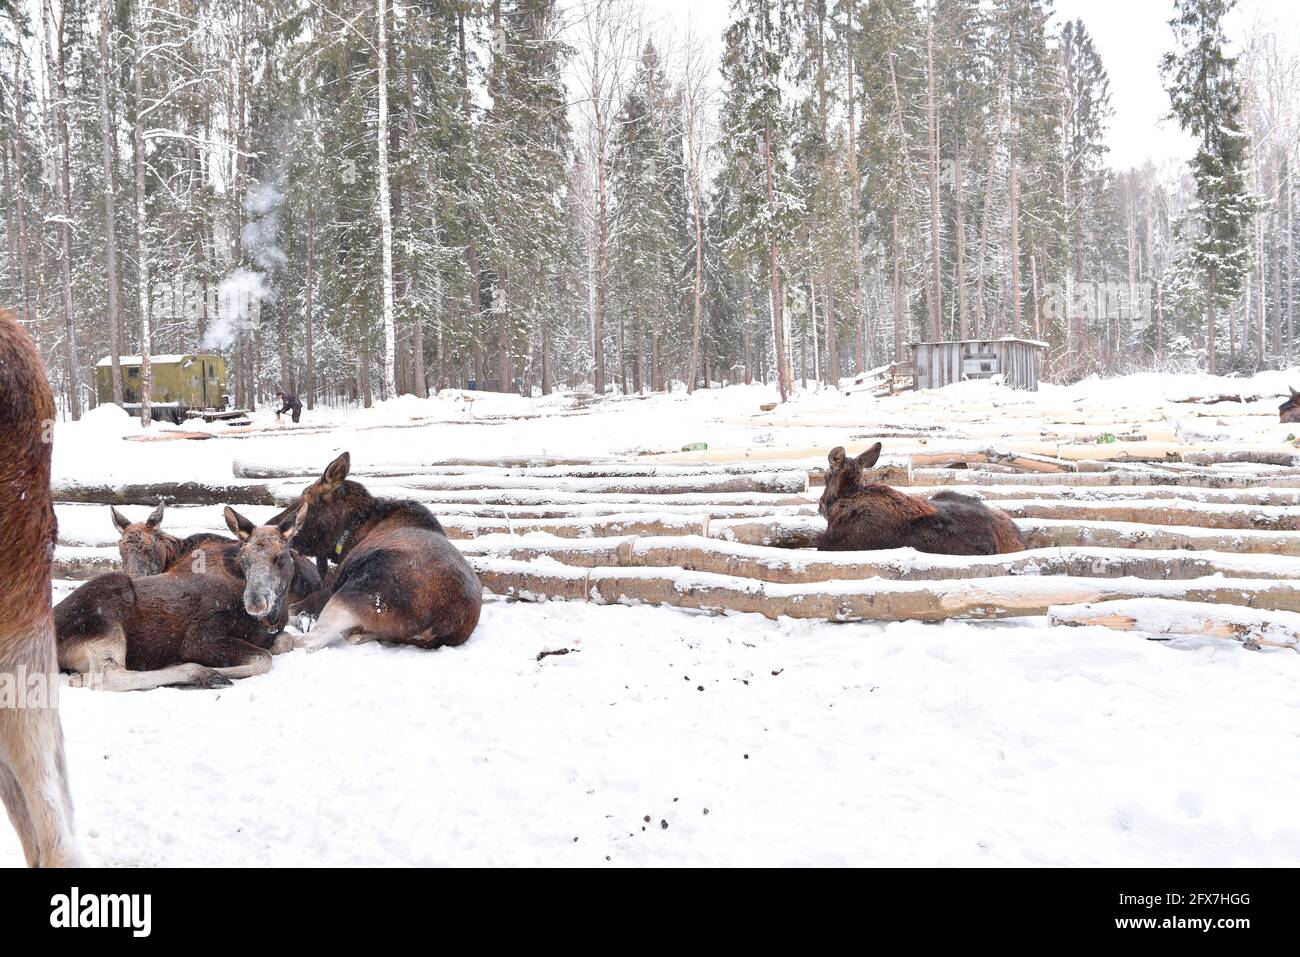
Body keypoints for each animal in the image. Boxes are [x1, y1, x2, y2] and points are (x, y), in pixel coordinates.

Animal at [54, 505, 316, 692]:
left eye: (279, 557)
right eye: (244, 559)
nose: (255, 603)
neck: (271, 618)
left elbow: (285, 641)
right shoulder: (199, 637)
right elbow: (264, 658)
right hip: (109, 607)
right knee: (107, 676)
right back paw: (202, 673)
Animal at [269, 452, 482, 652]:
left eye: (304, 496)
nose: (271, 525)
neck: (352, 531)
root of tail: (439, 627)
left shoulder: (333, 583)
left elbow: (296, 608)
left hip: (350, 595)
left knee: (312, 640)